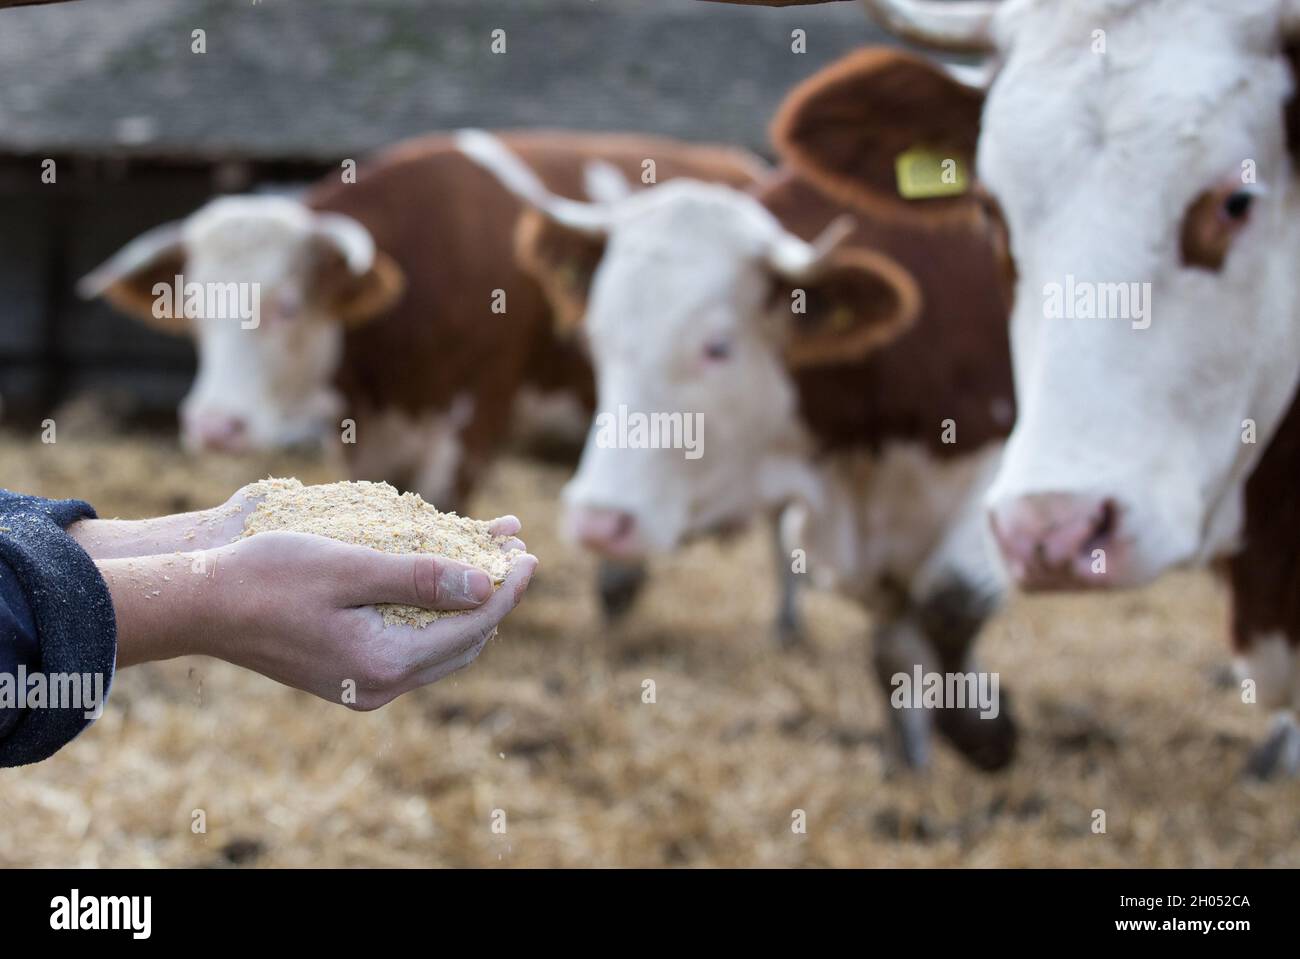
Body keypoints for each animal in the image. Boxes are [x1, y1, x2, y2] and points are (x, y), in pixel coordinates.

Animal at [456, 103, 1019, 772]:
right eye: (596, 336)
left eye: (717, 347)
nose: (599, 522)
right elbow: (894, 645)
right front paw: (912, 766)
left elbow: (953, 599)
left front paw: (982, 727)